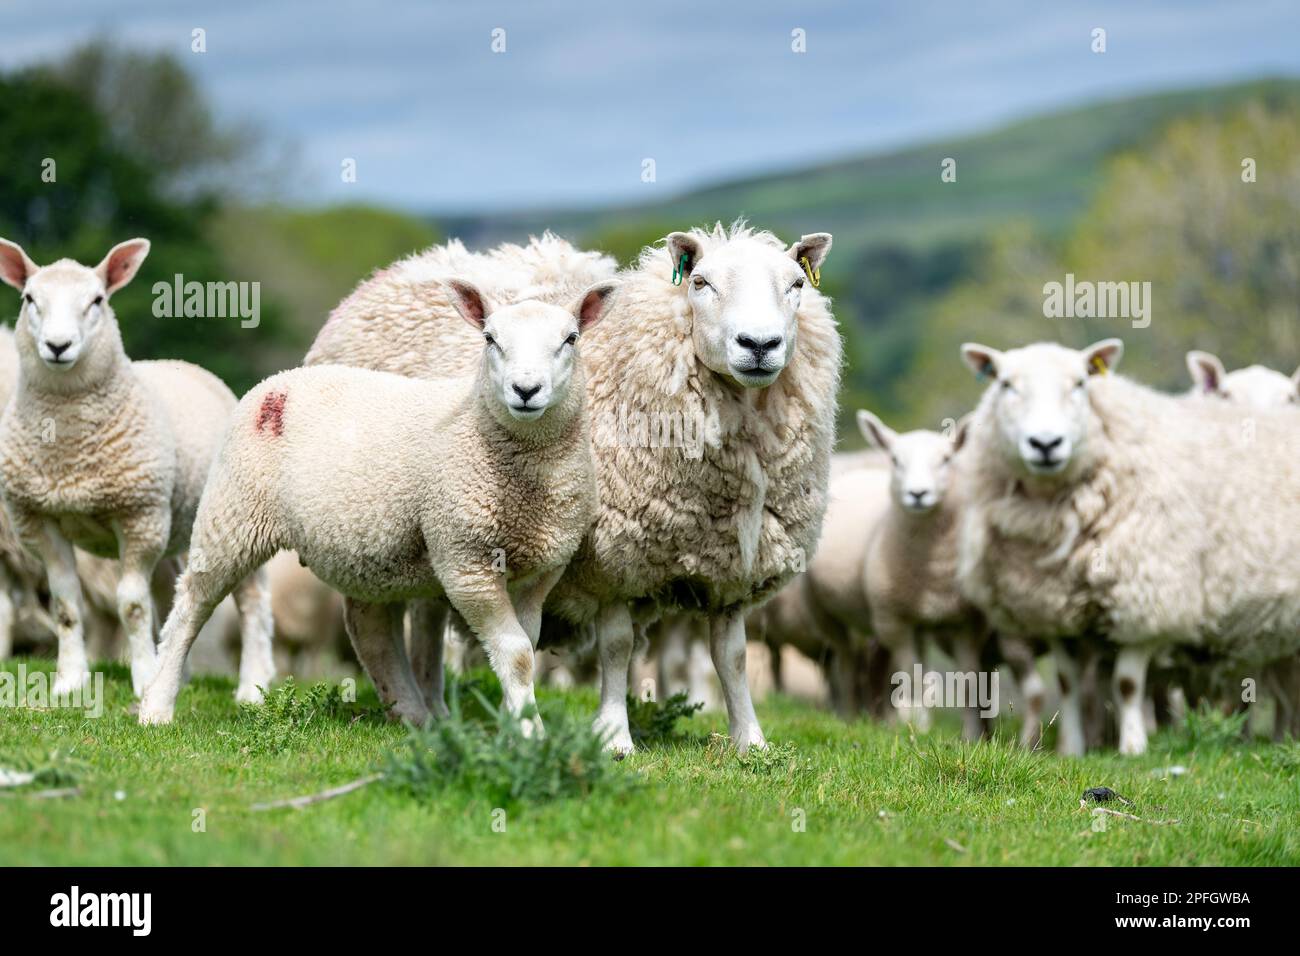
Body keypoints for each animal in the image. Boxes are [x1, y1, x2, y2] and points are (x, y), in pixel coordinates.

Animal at [0, 238, 274, 700]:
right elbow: (66, 604)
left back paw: (251, 686)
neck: (70, 452)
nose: (58, 346)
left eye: (97, 300)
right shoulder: (36, 520)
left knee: (252, 601)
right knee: (168, 590)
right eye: (29, 299)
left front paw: (143, 679)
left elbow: (132, 605)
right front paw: (69, 683)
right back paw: (177, 675)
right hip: (174, 525)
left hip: (231, 518)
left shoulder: (138, 516)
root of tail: (189, 366)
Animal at [138, 278, 618, 730]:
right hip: (231, 514)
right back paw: (156, 705)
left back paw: (412, 713)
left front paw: (513, 720)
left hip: (370, 549)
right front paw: (529, 732)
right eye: (489, 338)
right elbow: (517, 652)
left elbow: (525, 649)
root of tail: (279, 379)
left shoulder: (541, 570)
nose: (525, 389)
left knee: (369, 629)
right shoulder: (466, 561)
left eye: (571, 338)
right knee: (189, 608)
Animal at [304, 223, 841, 754]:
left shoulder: (730, 568)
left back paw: (436, 713)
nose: (759, 344)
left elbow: (731, 657)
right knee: (372, 626)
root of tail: (381, 279)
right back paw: (410, 712)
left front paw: (751, 741)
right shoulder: (610, 561)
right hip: (368, 527)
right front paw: (615, 737)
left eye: (796, 283)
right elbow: (617, 647)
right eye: (701, 282)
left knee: (428, 618)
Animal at [955, 337, 1300, 755]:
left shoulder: (1145, 600)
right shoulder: (1055, 609)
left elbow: (1128, 684)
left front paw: (1133, 747)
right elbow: (1068, 683)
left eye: (1080, 383)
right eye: (1005, 384)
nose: (1046, 444)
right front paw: (1072, 748)